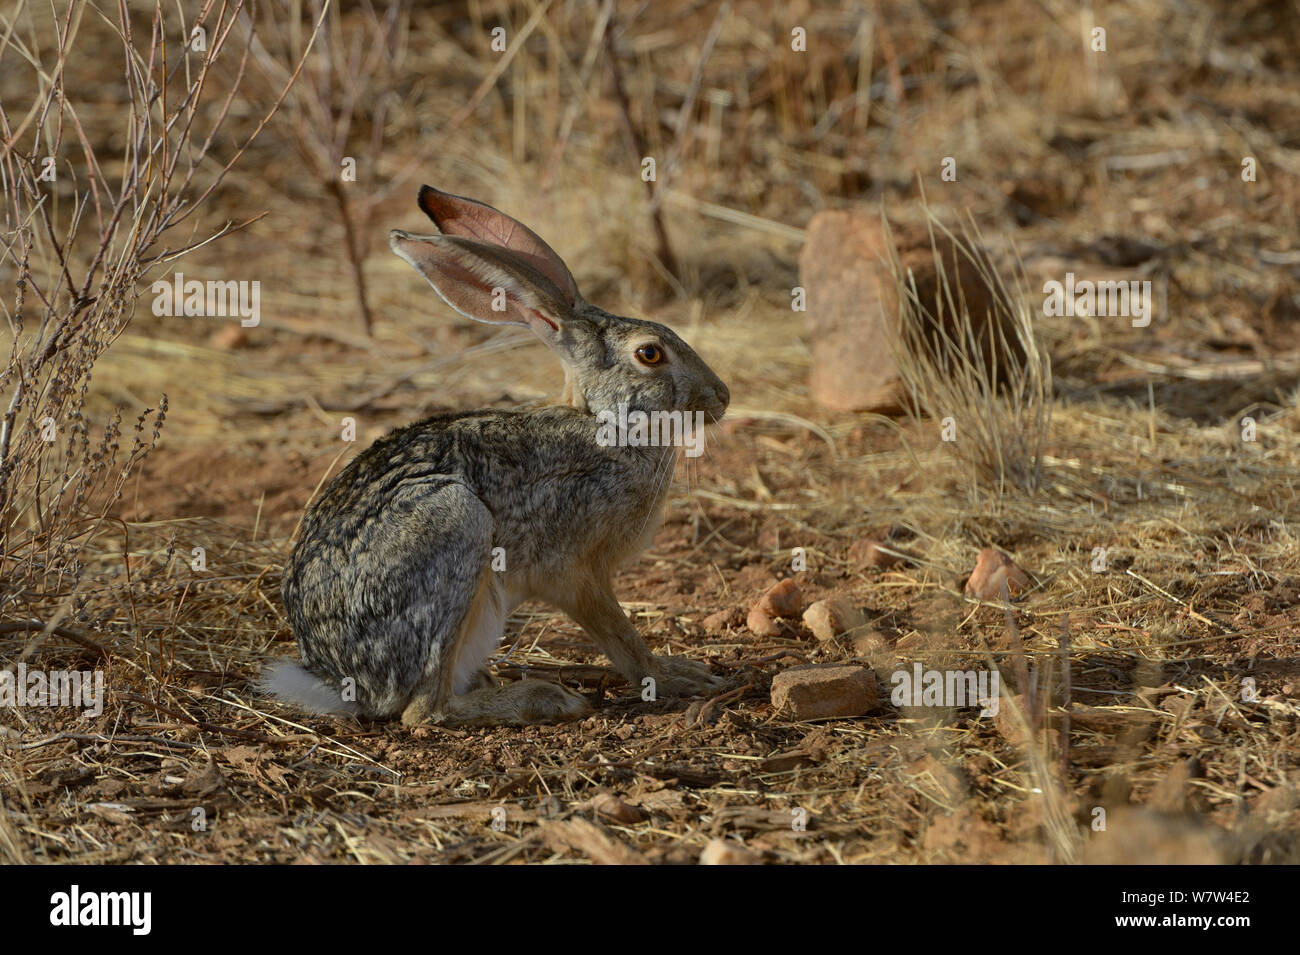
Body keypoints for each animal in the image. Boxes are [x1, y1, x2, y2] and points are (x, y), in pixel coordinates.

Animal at [263, 185, 729, 727]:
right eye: (650, 354)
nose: (722, 397)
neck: (605, 421)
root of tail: (337, 678)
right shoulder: (575, 570)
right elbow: (621, 636)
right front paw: (678, 678)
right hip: (454, 524)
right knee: (424, 710)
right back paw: (543, 698)